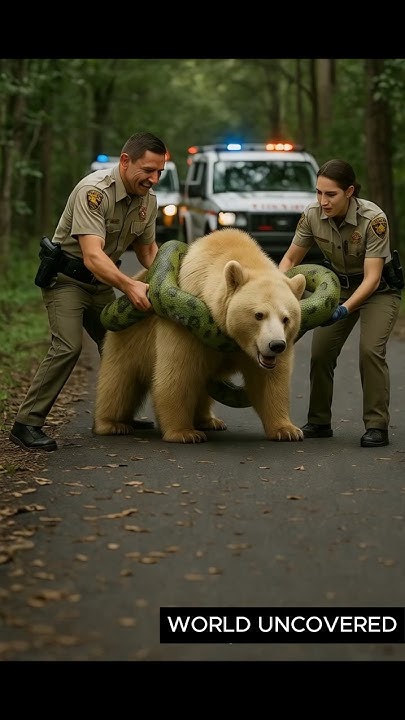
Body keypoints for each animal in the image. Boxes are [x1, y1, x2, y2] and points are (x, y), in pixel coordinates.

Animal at [93, 228, 306, 443]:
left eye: (286, 318)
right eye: (259, 315)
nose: (276, 345)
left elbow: (271, 382)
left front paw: (287, 429)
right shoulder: (186, 328)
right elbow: (178, 373)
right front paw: (184, 432)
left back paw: (208, 420)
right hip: (128, 336)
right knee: (120, 380)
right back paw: (112, 424)